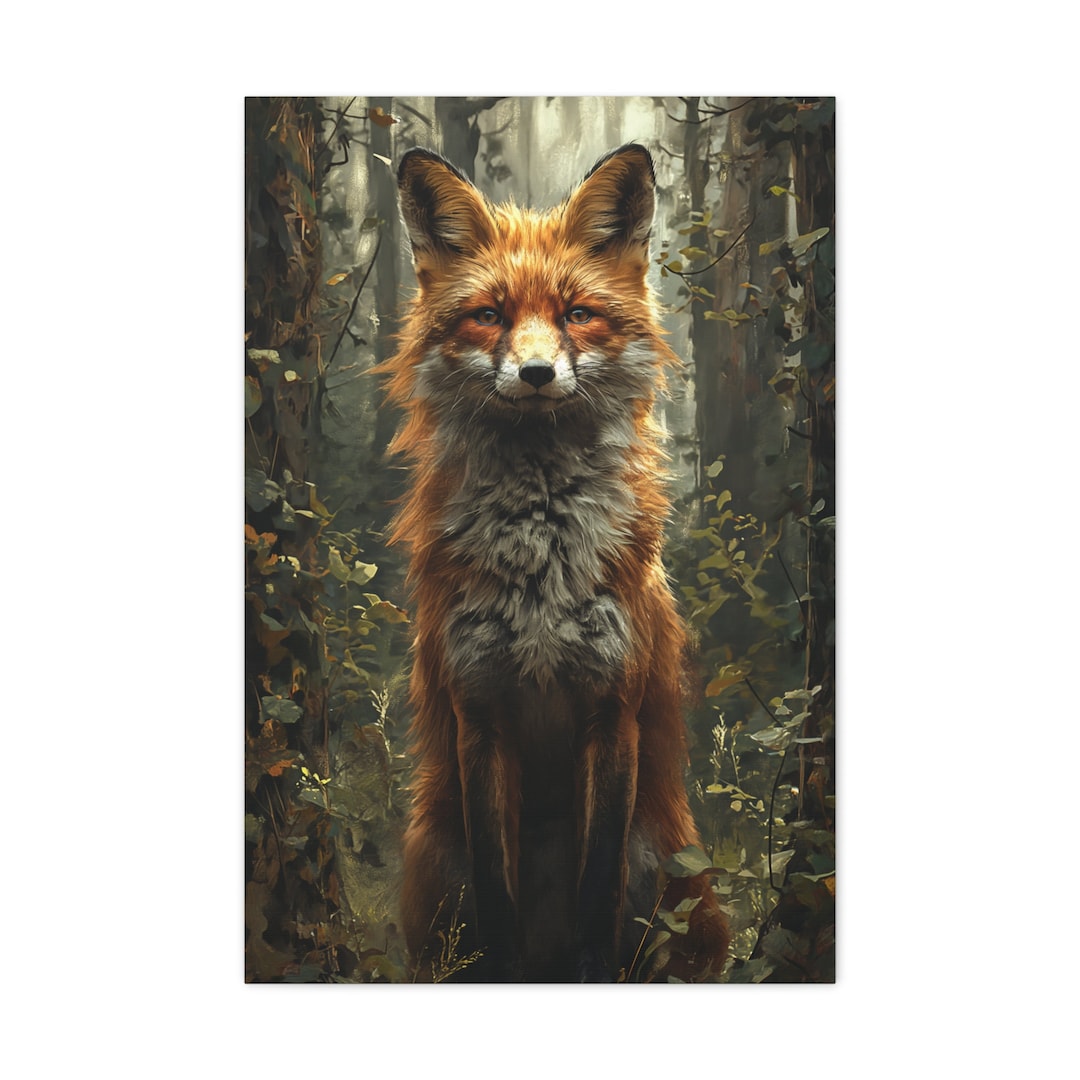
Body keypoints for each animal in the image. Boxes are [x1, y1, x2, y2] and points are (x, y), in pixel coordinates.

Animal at [381, 144, 729, 982]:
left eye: (577, 314)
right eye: (490, 316)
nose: (537, 374)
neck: (541, 566)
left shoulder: (613, 710)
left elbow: (595, 901)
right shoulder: (479, 714)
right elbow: (499, 904)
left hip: (669, 870)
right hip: (432, 862)